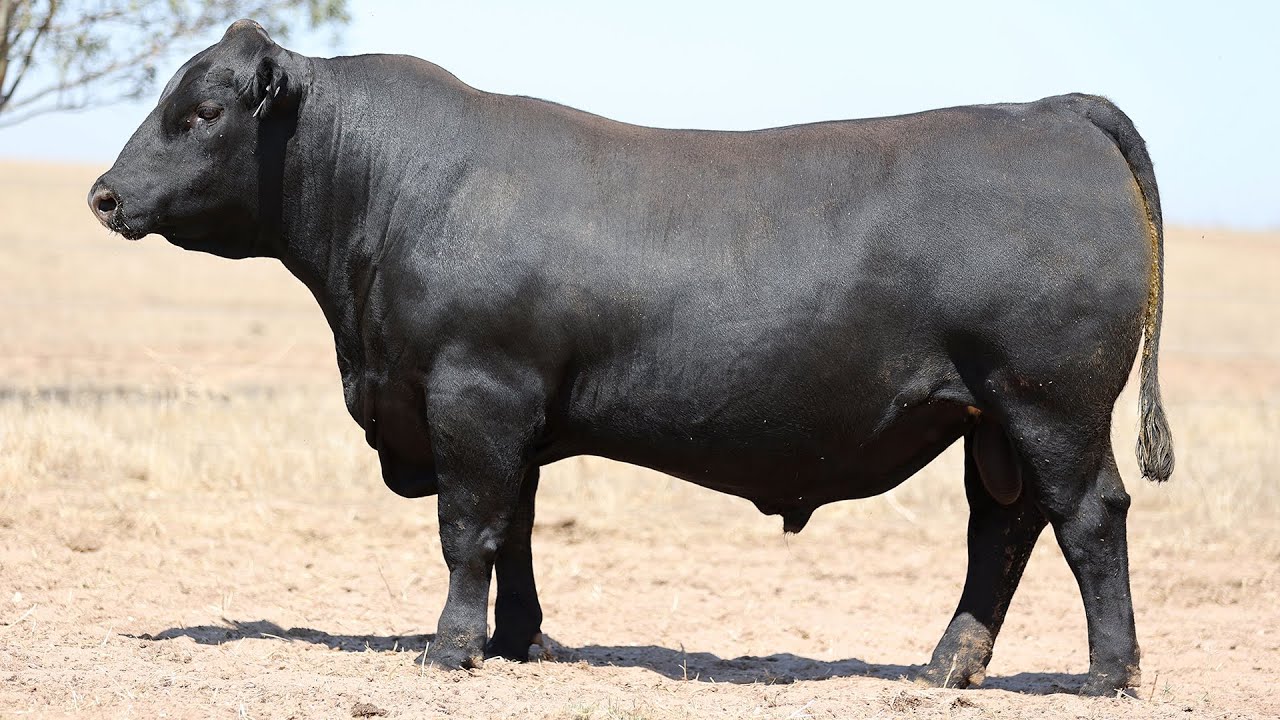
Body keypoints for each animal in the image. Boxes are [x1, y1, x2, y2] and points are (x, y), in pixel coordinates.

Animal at [89, 20, 1174, 696]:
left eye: (203, 112)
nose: (104, 193)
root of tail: (1050, 109)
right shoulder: (511, 415)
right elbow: (517, 533)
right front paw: (517, 642)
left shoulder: (473, 393)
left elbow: (467, 532)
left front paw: (448, 651)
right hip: (991, 421)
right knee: (1001, 533)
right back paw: (947, 666)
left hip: (1049, 405)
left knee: (1089, 519)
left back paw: (1103, 674)